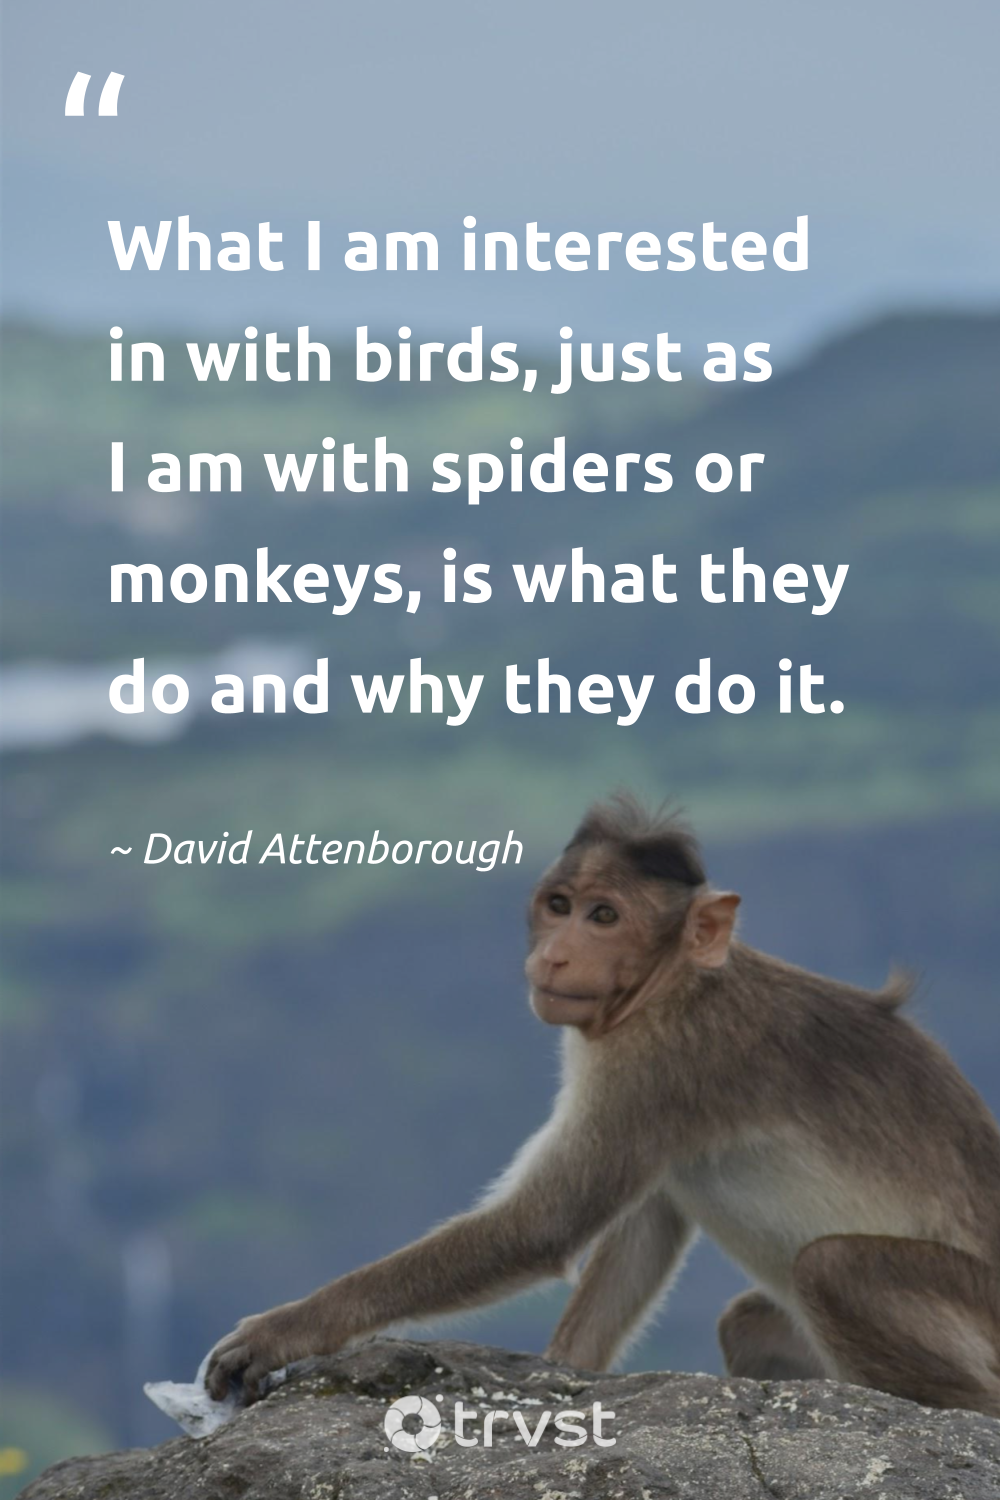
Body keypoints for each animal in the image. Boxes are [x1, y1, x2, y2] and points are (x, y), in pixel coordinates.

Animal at [206, 795, 1000, 1417]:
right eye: (560, 907)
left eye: (605, 916)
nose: (555, 955)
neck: (671, 983)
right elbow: (646, 1226)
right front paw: (566, 1367)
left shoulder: (654, 1063)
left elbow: (542, 1224)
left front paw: (287, 1328)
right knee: (747, 1322)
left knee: (831, 1267)